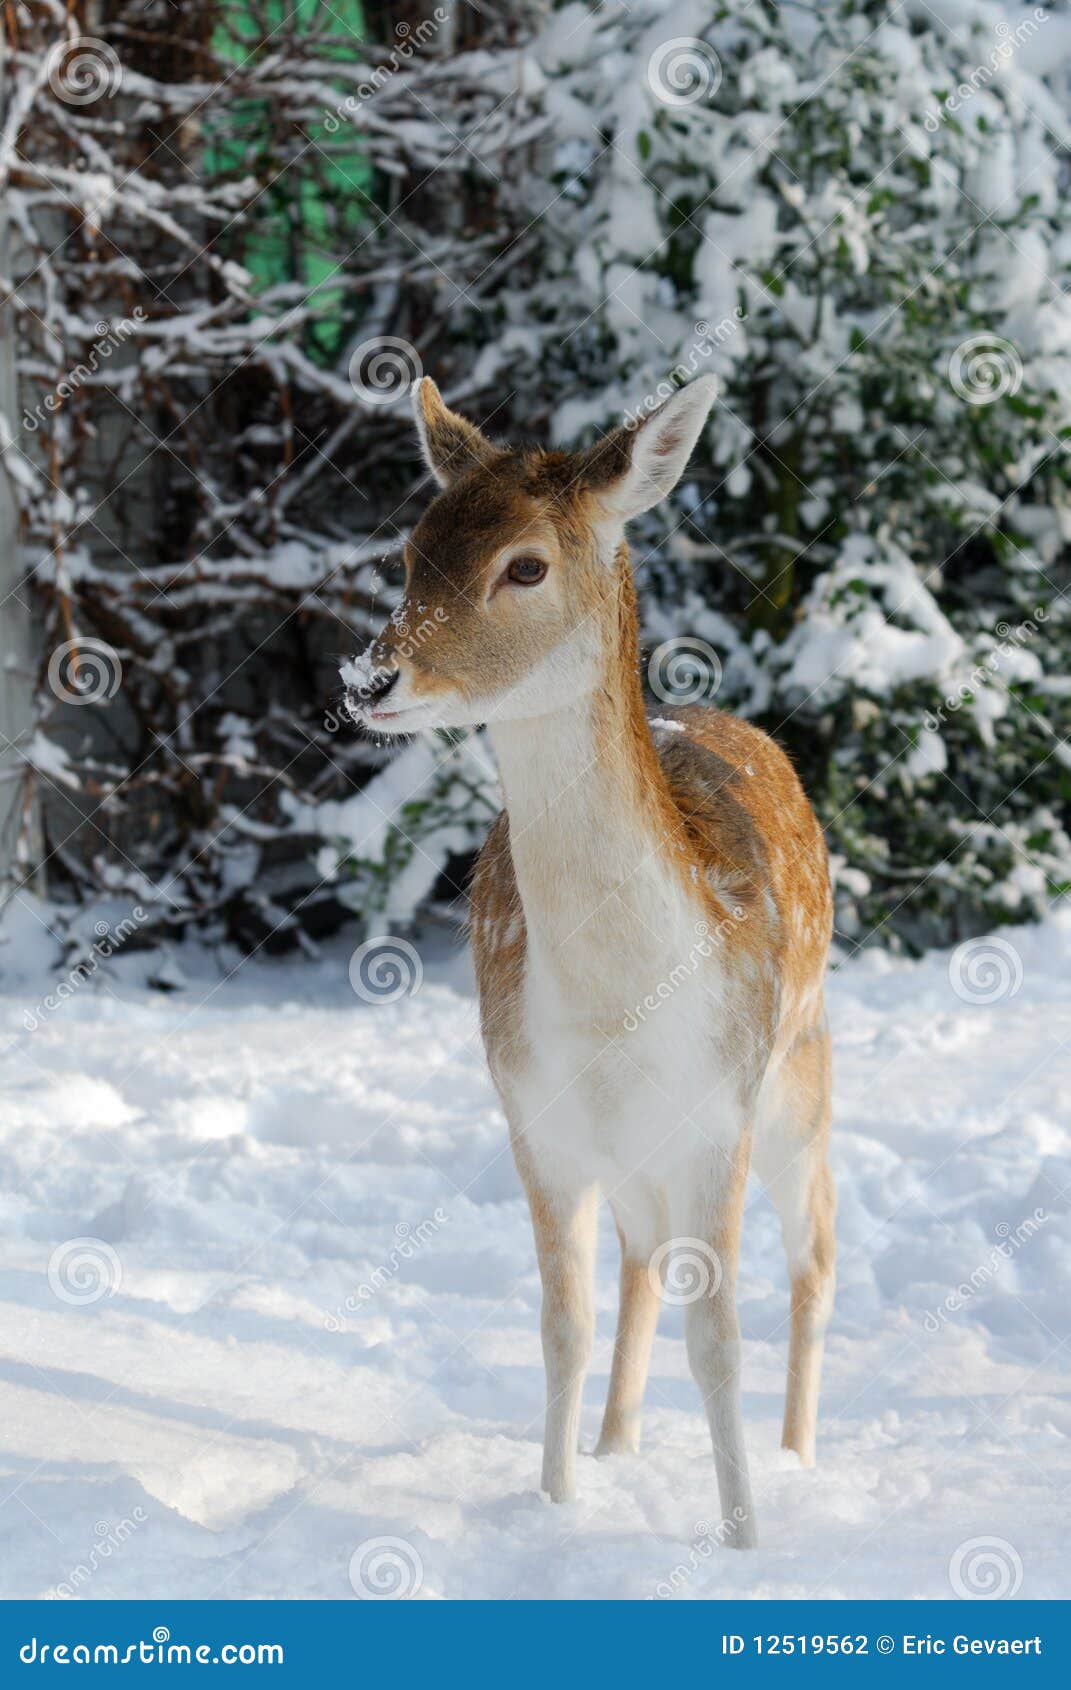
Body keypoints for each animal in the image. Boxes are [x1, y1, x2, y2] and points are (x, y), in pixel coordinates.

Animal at [343, 374, 835, 1549]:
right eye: (410, 548)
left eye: (525, 564)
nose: (369, 677)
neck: (623, 1001)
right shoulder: (535, 1115)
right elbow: (559, 1322)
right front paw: (557, 1506)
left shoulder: (718, 1110)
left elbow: (721, 1339)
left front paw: (744, 1541)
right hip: (635, 1148)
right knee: (641, 1262)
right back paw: (618, 1446)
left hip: (801, 1063)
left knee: (816, 1253)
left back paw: (798, 1458)